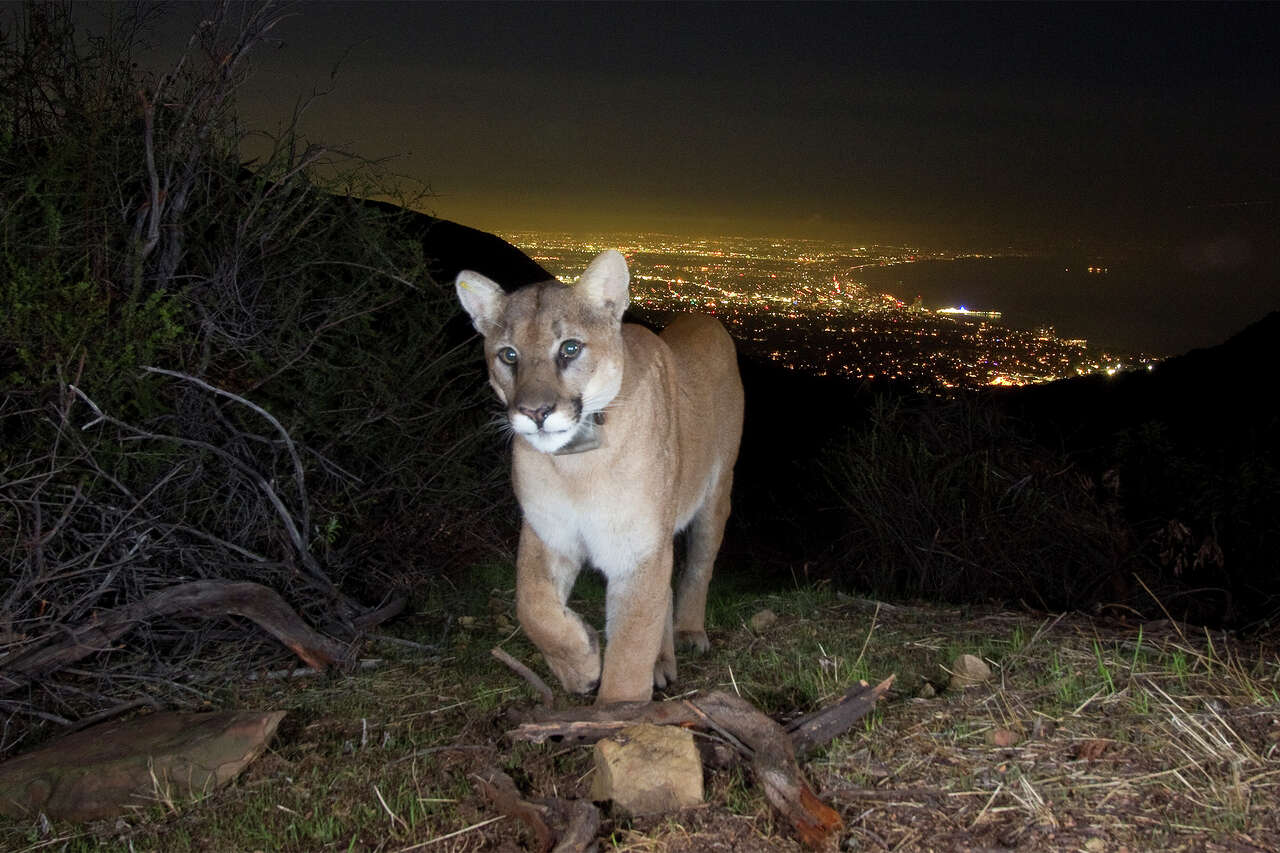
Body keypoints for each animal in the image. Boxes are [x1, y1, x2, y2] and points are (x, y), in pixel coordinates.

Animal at [455, 249, 744, 703]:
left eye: (570, 348)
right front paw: (581, 663)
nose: (535, 412)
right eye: (509, 355)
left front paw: (618, 708)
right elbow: (531, 604)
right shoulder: (548, 530)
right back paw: (661, 662)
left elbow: (630, 646)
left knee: (698, 566)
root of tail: (703, 317)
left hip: (717, 494)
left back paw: (687, 633)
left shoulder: (638, 548)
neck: (577, 465)